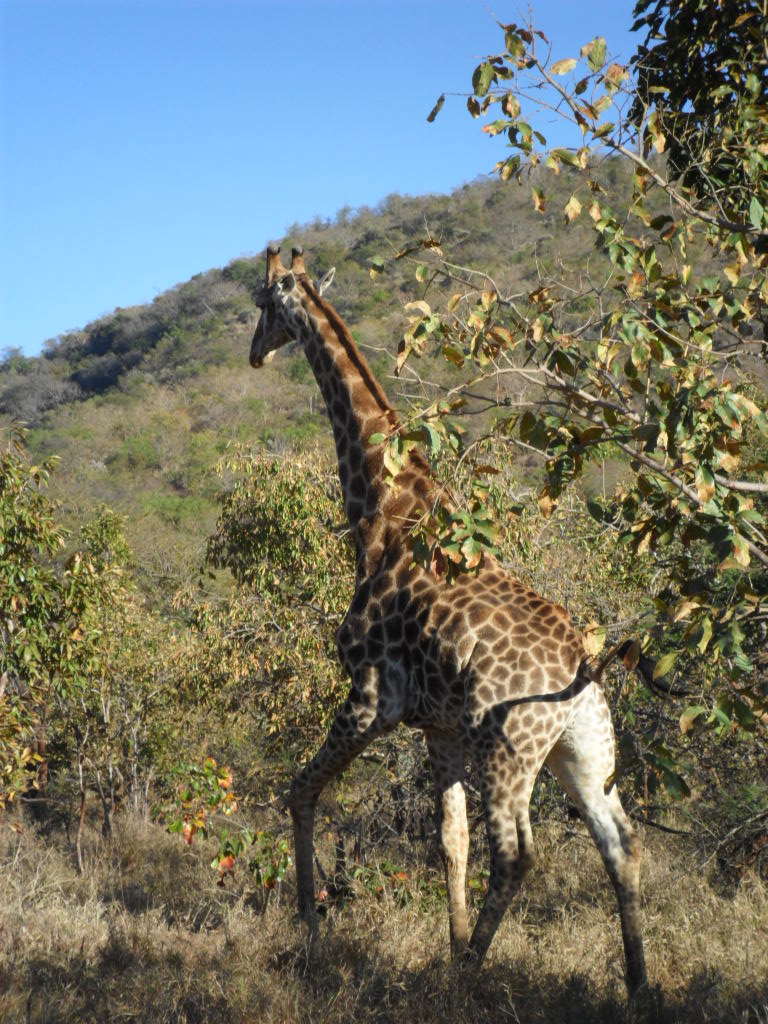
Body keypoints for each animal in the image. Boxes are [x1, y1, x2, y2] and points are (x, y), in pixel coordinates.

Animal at [249, 245, 647, 995]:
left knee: (519, 854)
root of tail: (584, 666)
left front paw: (311, 928)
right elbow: (448, 843)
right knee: (621, 844)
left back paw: (473, 975)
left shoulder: (370, 697)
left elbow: (300, 791)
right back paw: (640, 986)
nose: (255, 352)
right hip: (583, 752)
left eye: (261, 304)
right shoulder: (437, 728)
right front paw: (451, 942)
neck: (382, 512)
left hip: (511, 750)